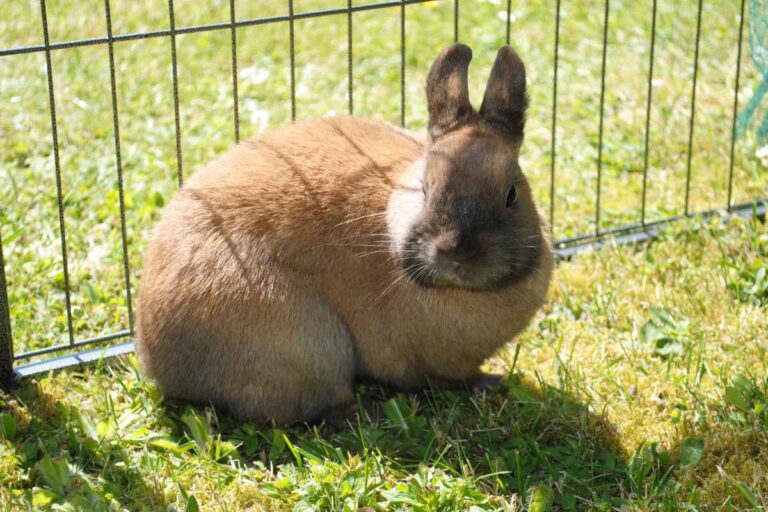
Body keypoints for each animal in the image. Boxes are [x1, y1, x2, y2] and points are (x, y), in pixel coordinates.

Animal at [136, 44, 554, 425]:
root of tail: (158, 361)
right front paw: (488, 382)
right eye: (424, 188)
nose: (457, 254)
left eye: (511, 194)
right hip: (311, 347)